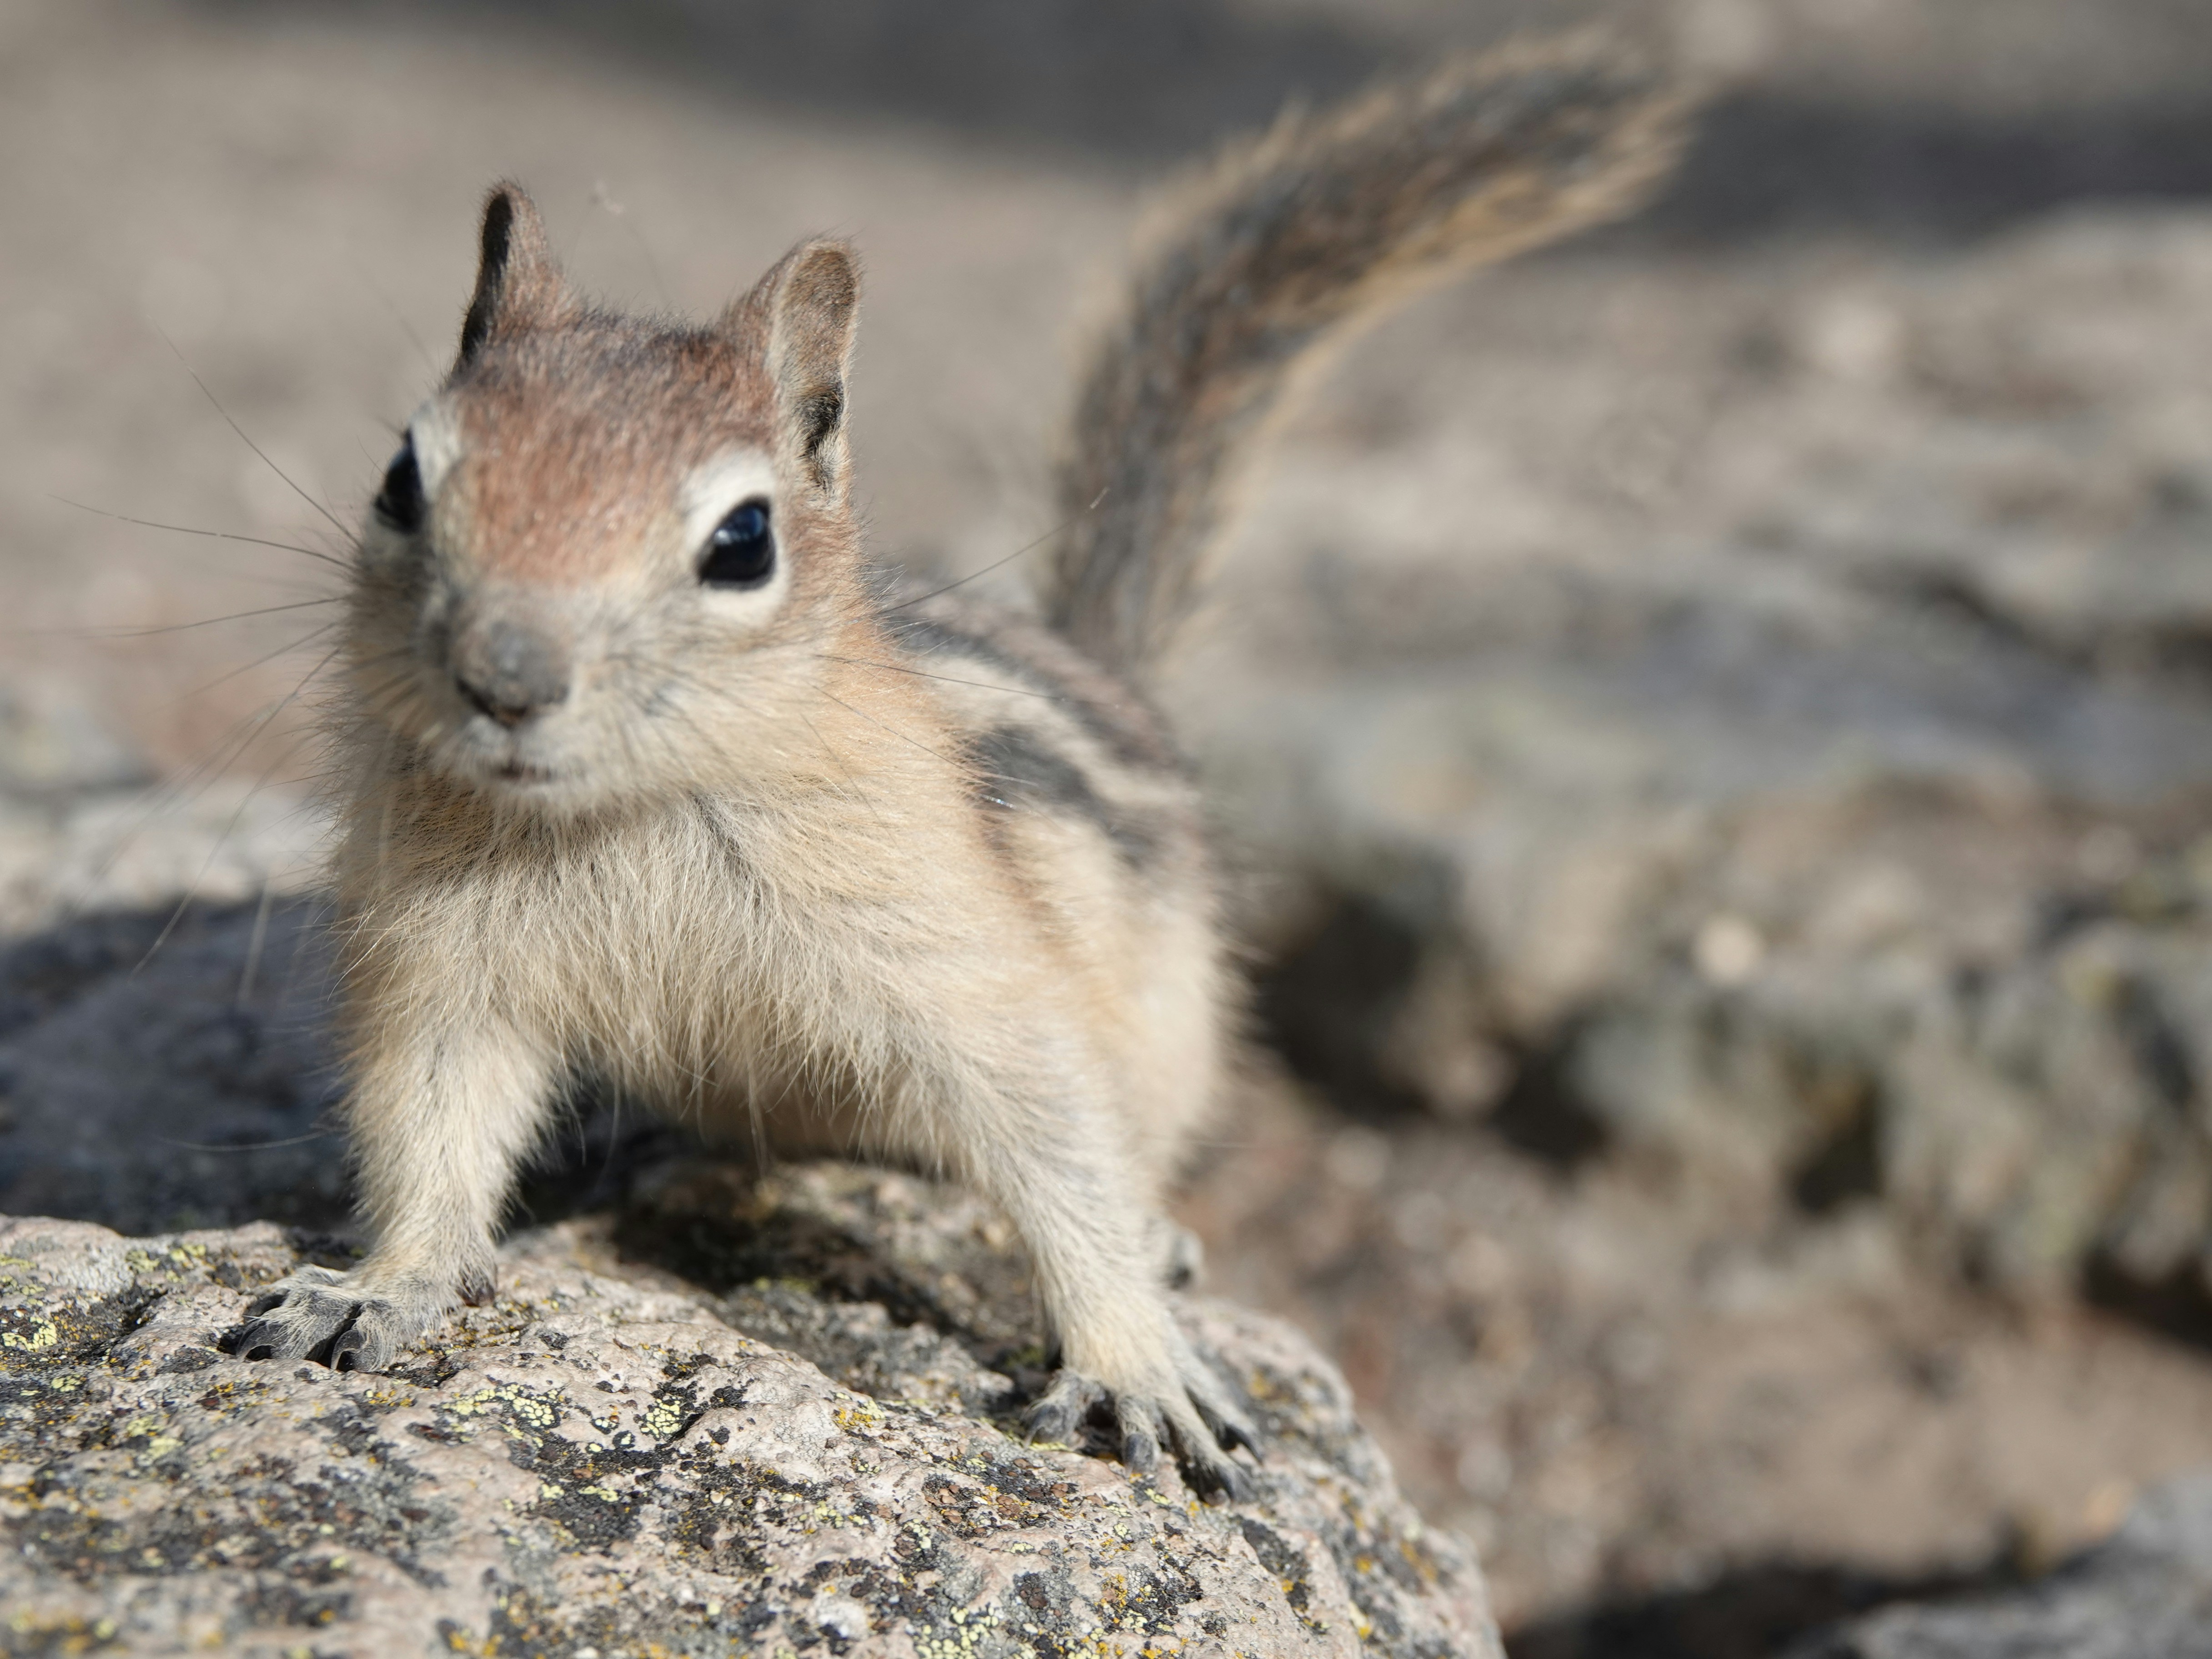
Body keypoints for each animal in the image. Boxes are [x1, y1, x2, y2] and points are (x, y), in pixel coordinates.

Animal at [230, 34, 1688, 1498]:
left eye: (743, 541)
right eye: (402, 479)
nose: (506, 677)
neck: (621, 818)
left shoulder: (956, 953)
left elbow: (1049, 1135)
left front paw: (1132, 1359)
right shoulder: (443, 972)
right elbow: (429, 1129)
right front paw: (381, 1286)